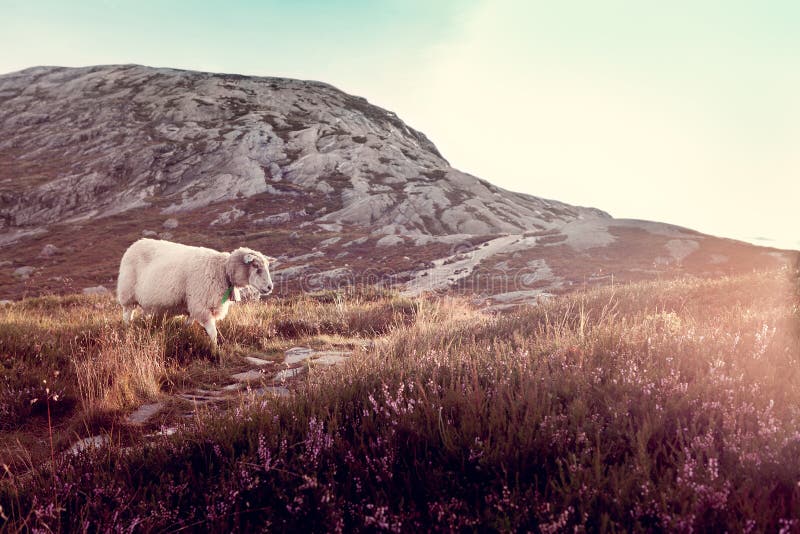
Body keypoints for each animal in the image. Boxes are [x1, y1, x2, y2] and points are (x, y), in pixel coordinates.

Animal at [117, 238, 275, 345]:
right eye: (256, 266)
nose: (270, 287)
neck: (222, 270)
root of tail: (135, 244)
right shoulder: (201, 305)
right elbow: (213, 332)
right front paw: (214, 349)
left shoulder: (193, 306)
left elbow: (188, 324)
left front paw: (183, 334)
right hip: (127, 293)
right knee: (127, 314)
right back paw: (127, 330)